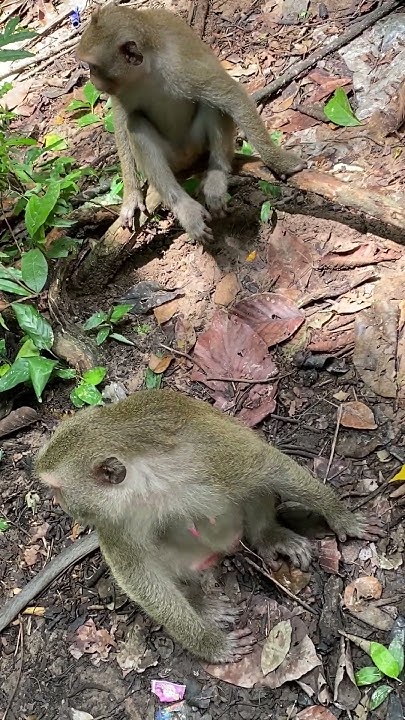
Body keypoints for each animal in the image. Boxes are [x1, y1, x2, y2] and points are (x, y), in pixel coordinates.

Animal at [35, 390, 383, 663]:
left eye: (57, 489)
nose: (58, 504)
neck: (146, 481)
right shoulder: (113, 519)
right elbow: (138, 573)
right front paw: (208, 642)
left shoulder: (208, 452)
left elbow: (268, 465)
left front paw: (340, 515)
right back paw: (200, 600)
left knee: (251, 487)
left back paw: (267, 535)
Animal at [76, 4, 306, 242]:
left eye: (93, 66)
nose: (92, 80)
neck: (147, 71)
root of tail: (187, 159)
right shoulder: (122, 90)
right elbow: (121, 120)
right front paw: (131, 196)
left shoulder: (182, 68)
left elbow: (232, 95)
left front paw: (279, 160)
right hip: (173, 158)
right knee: (135, 122)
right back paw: (184, 207)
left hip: (196, 144)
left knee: (211, 103)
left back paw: (216, 174)